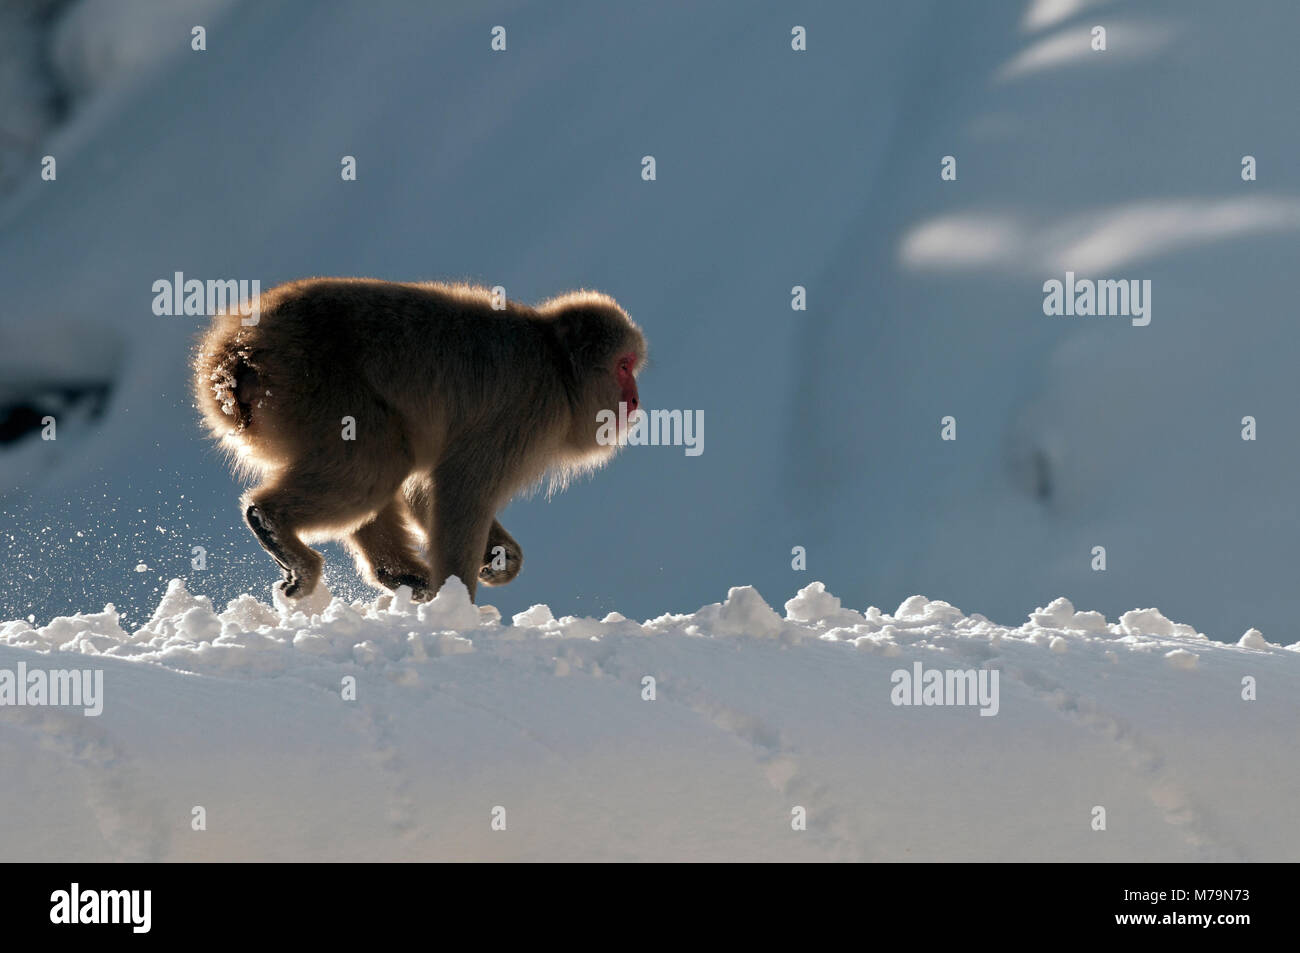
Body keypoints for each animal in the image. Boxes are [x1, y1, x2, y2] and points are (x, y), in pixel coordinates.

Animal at [192, 278, 646, 603]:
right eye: (624, 367)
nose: (636, 399)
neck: (558, 366)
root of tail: (233, 352)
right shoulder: (528, 409)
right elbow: (460, 488)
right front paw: (458, 603)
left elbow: (424, 491)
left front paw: (500, 558)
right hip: (314, 384)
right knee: (377, 466)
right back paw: (270, 520)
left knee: (380, 464)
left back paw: (397, 573)